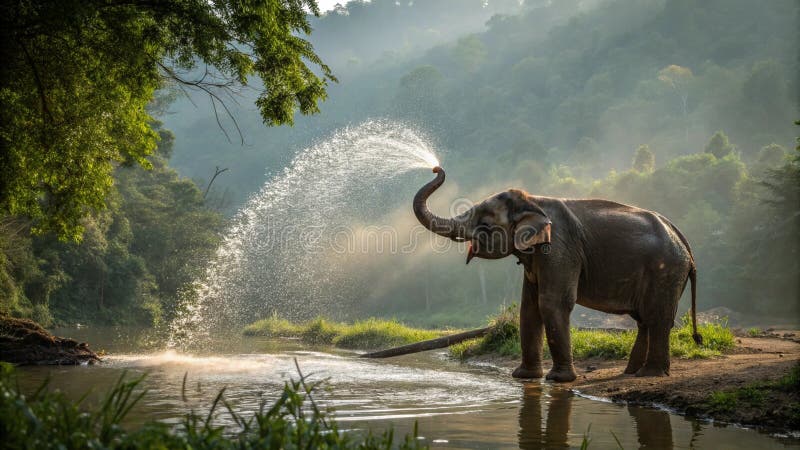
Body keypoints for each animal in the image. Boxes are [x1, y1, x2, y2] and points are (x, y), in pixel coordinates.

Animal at [413, 167, 702, 382]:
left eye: (485, 224)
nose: (436, 167)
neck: (533, 200)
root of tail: (685, 243)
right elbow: (529, 307)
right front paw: (524, 377)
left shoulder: (561, 248)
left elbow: (552, 303)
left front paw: (558, 379)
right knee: (644, 319)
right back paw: (631, 372)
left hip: (666, 271)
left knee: (657, 317)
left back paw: (649, 374)